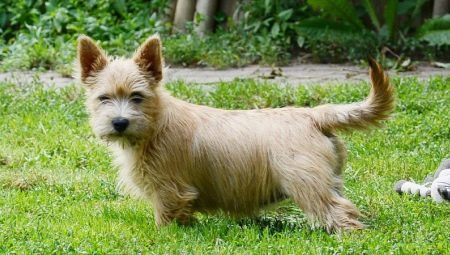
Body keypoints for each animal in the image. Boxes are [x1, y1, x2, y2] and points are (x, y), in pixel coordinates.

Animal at [76, 34, 394, 233]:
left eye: (137, 97)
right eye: (104, 98)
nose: (119, 122)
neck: (155, 125)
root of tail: (313, 114)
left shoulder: (170, 192)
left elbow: (166, 222)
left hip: (307, 183)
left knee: (339, 211)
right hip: (327, 180)